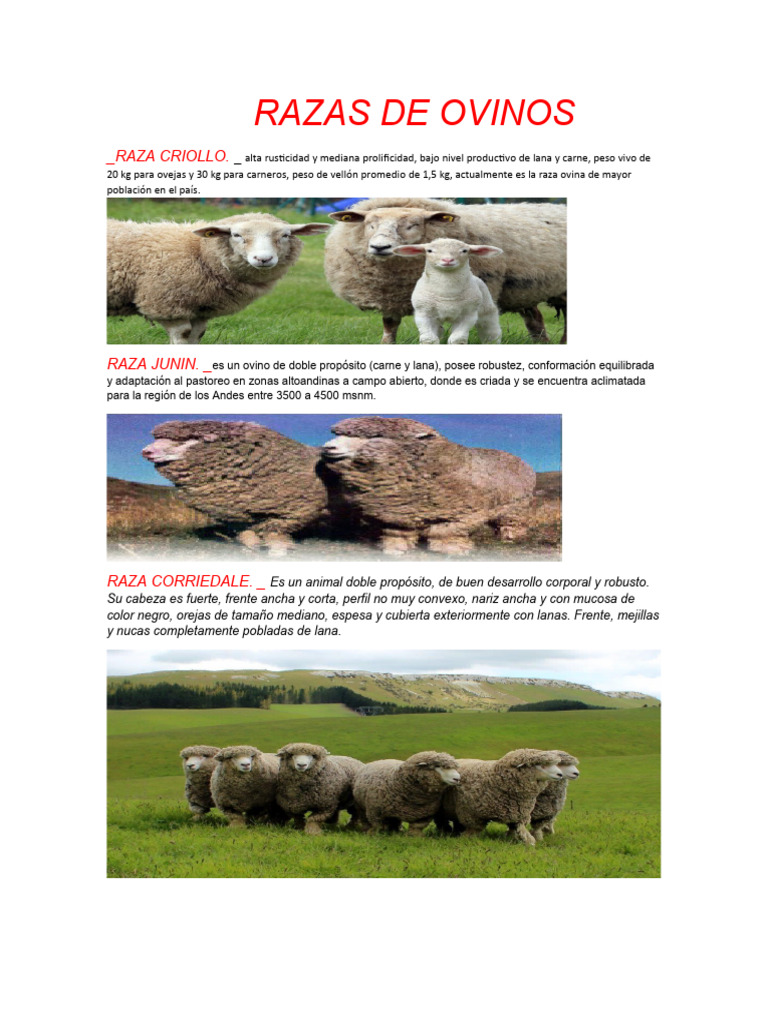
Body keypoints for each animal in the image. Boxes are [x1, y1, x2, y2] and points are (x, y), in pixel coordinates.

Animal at [107, 213, 330, 344]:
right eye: (237, 235)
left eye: (285, 235)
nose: (263, 259)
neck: (200, 251)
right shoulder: (167, 306)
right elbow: (182, 337)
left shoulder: (199, 310)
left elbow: (196, 336)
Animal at [141, 419, 328, 553]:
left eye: (185, 440)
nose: (145, 451)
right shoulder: (237, 514)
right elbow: (247, 533)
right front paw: (251, 546)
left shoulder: (296, 511)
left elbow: (275, 532)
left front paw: (278, 549)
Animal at [319, 416, 537, 554]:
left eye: (375, 437)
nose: (328, 448)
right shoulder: (399, 511)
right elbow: (397, 532)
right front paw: (394, 548)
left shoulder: (458, 514)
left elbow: (446, 533)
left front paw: (451, 549)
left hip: (515, 508)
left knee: (510, 524)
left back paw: (509, 538)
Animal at [324, 198, 566, 344]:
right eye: (369, 224)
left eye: (413, 224)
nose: (379, 247)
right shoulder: (391, 297)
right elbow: (390, 327)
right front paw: (387, 345)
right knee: (535, 319)